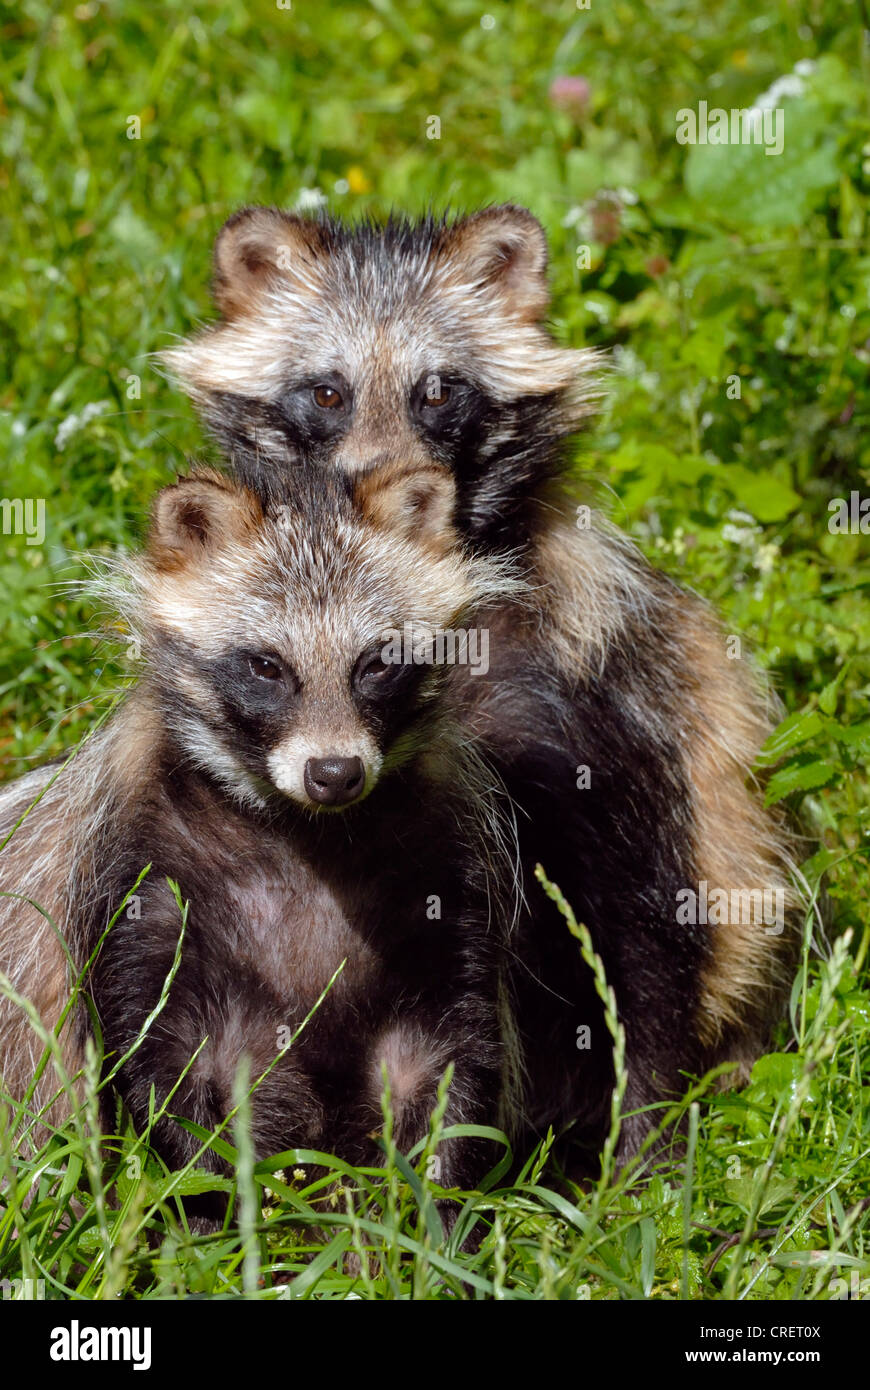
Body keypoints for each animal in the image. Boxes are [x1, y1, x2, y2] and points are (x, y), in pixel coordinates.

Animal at [0, 466, 524, 1226]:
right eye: (265, 666)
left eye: (377, 664)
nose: (334, 772)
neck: (304, 835)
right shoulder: (139, 876)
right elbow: (162, 1062)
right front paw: (218, 1213)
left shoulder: (441, 867)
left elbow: (448, 1056)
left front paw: (428, 1212)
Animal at [163, 205, 803, 1161]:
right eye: (326, 392)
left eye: (438, 390)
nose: (374, 484)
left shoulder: (594, 694)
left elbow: (645, 925)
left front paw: (645, 1148)